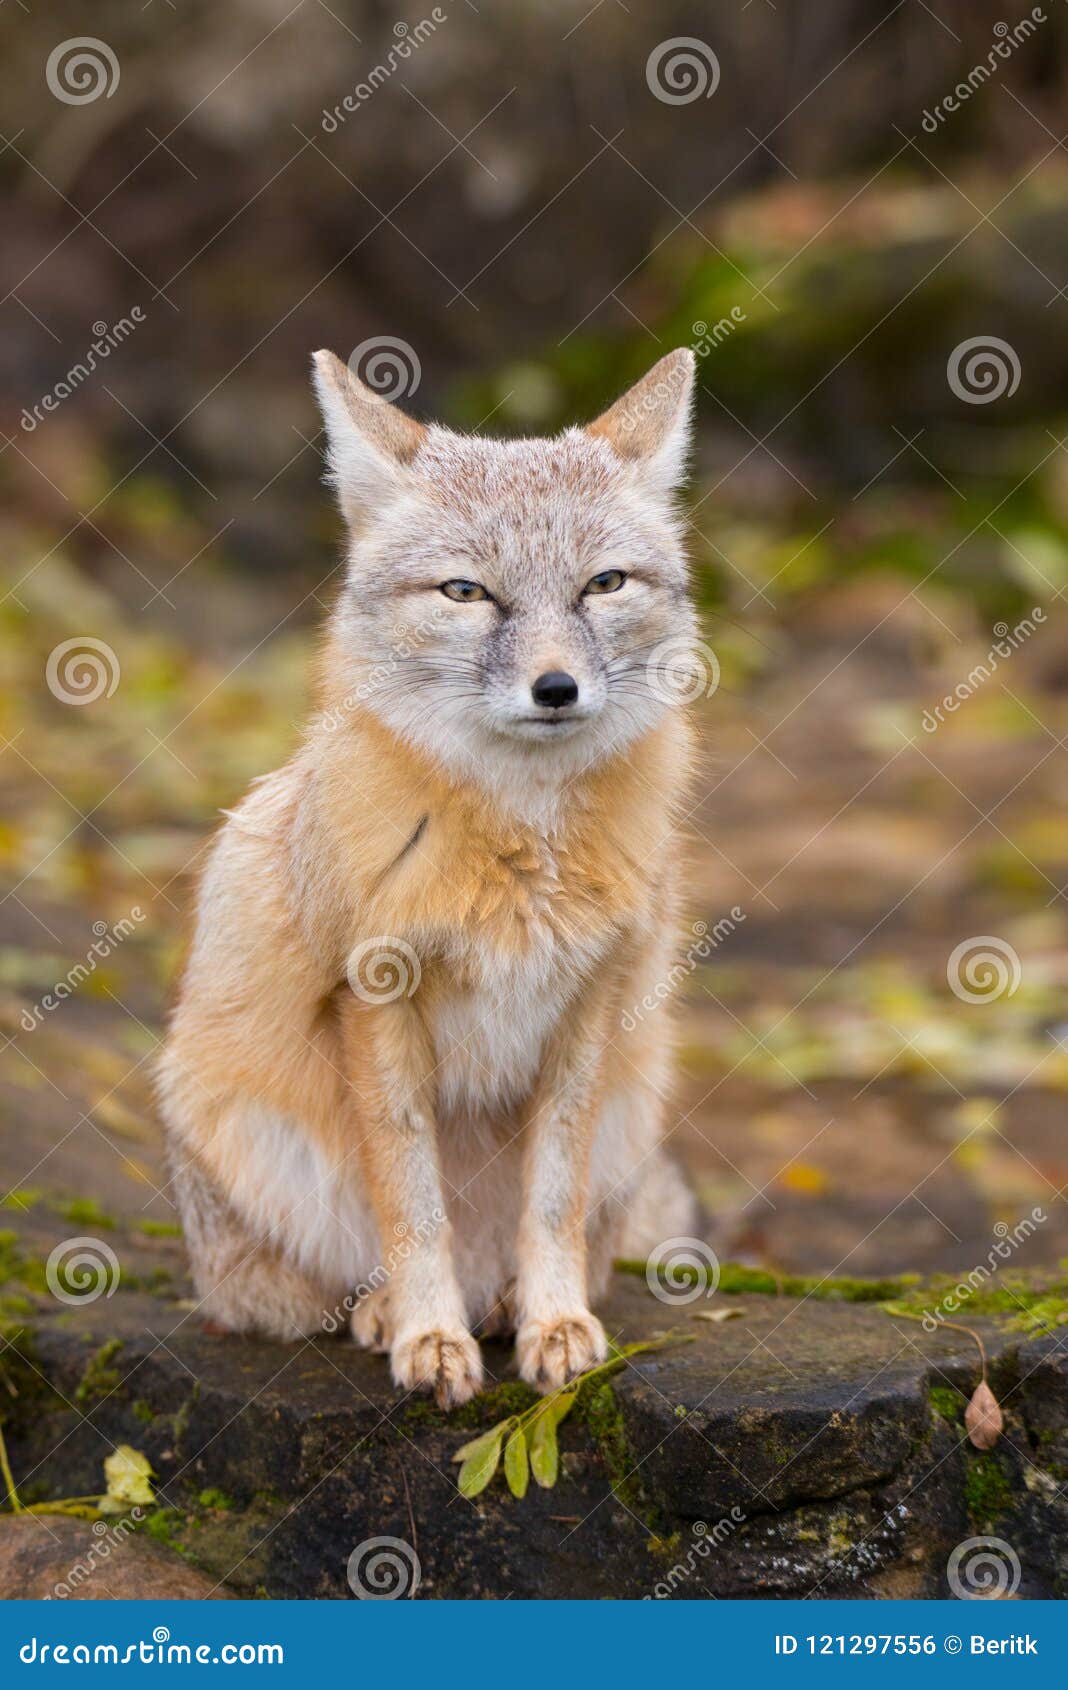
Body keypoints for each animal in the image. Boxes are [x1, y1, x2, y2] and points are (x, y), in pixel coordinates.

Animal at [157, 346, 702, 1408]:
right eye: (467, 593)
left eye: (604, 584)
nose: (556, 688)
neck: (522, 851)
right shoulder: (374, 999)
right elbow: (410, 1201)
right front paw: (427, 1333)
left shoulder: (588, 1001)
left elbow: (553, 1199)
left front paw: (553, 1320)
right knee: (311, 1282)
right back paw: (385, 1310)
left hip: (637, 1096)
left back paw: (507, 1304)